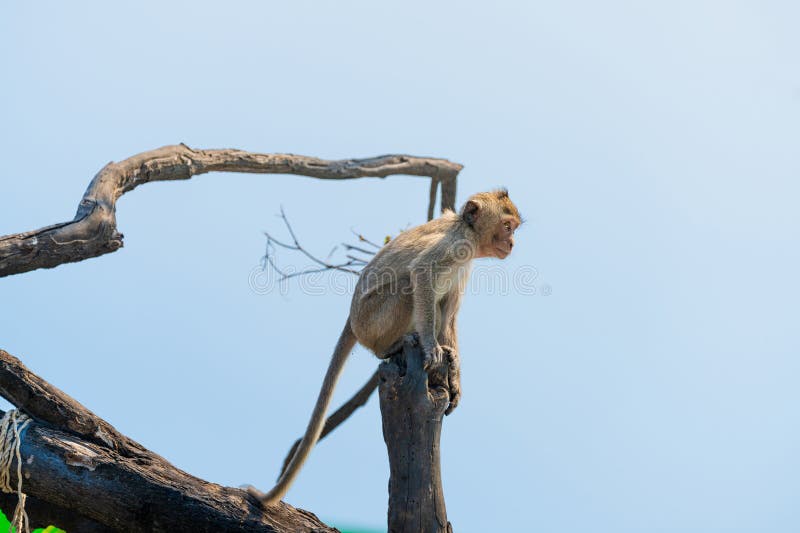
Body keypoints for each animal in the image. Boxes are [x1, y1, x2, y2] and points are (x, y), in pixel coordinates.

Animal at [249, 189, 521, 507]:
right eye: (507, 226)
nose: (512, 243)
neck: (466, 229)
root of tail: (352, 320)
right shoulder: (456, 246)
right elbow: (422, 274)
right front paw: (432, 349)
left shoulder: (464, 266)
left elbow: (448, 315)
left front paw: (454, 375)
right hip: (373, 319)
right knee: (406, 287)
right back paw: (392, 346)